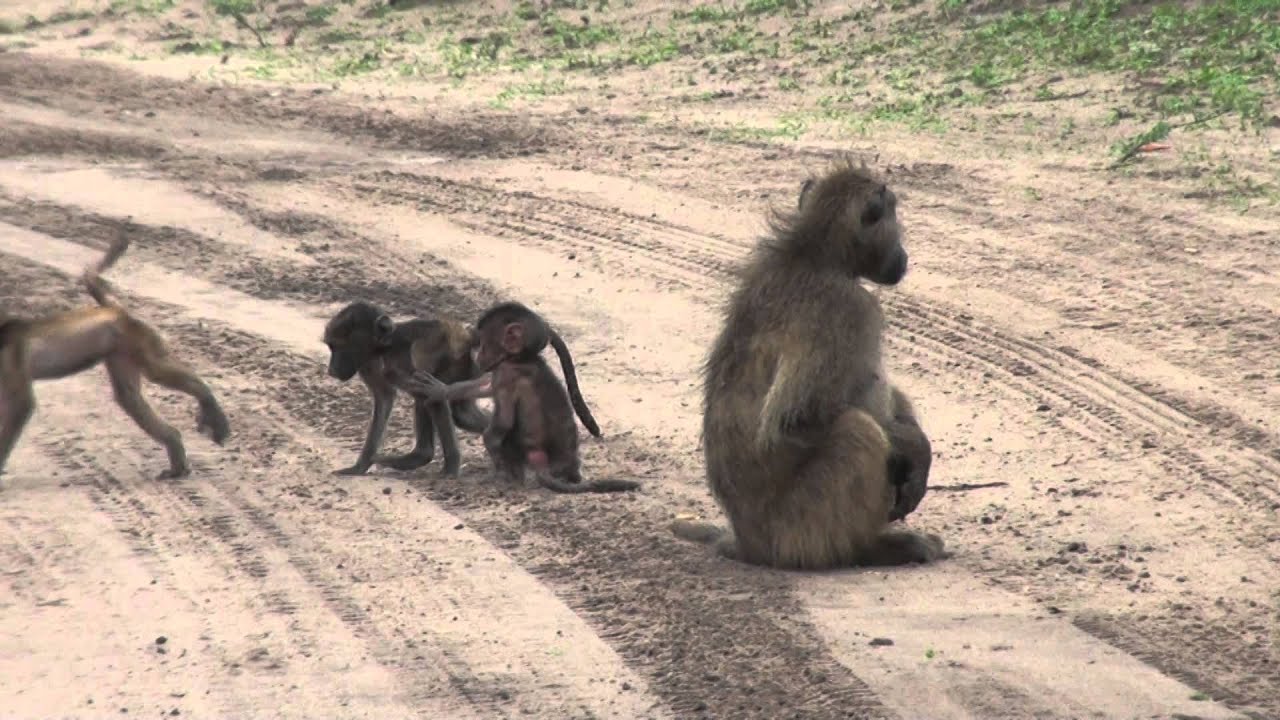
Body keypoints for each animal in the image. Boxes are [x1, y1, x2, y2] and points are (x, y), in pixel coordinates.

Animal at [0, 225, 230, 481]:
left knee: (157, 372)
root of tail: (117, 311)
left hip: (137, 339)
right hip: (121, 352)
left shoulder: (11, 358)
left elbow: (22, 404)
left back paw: (208, 403)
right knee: (129, 396)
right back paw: (176, 456)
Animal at [322, 301, 491, 478]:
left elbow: (431, 395)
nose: (331, 370)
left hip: (456, 360)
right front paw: (360, 466)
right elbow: (384, 397)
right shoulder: (367, 364)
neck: (384, 350)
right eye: (331, 347)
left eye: (338, 347)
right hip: (470, 368)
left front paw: (450, 470)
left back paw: (424, 456)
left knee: (428, 396)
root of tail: (468, 337)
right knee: (461, 414)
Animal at [405, 301, 637, 495]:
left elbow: (501, 424)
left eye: (482, 343)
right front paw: (441, 389)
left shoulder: (505, 375)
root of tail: (545, 464)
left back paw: (510, 478)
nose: (478, 358)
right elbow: (482, 386)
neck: (522, 358)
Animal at [669, 157, 944, 570]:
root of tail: (747, 544)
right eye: (894, 220)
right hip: (798, 530)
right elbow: (797, 418)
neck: (814, 253)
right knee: (857, 430)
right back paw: (870, 549)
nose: (903, 256)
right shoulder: (847, 308)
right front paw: (916, 449)